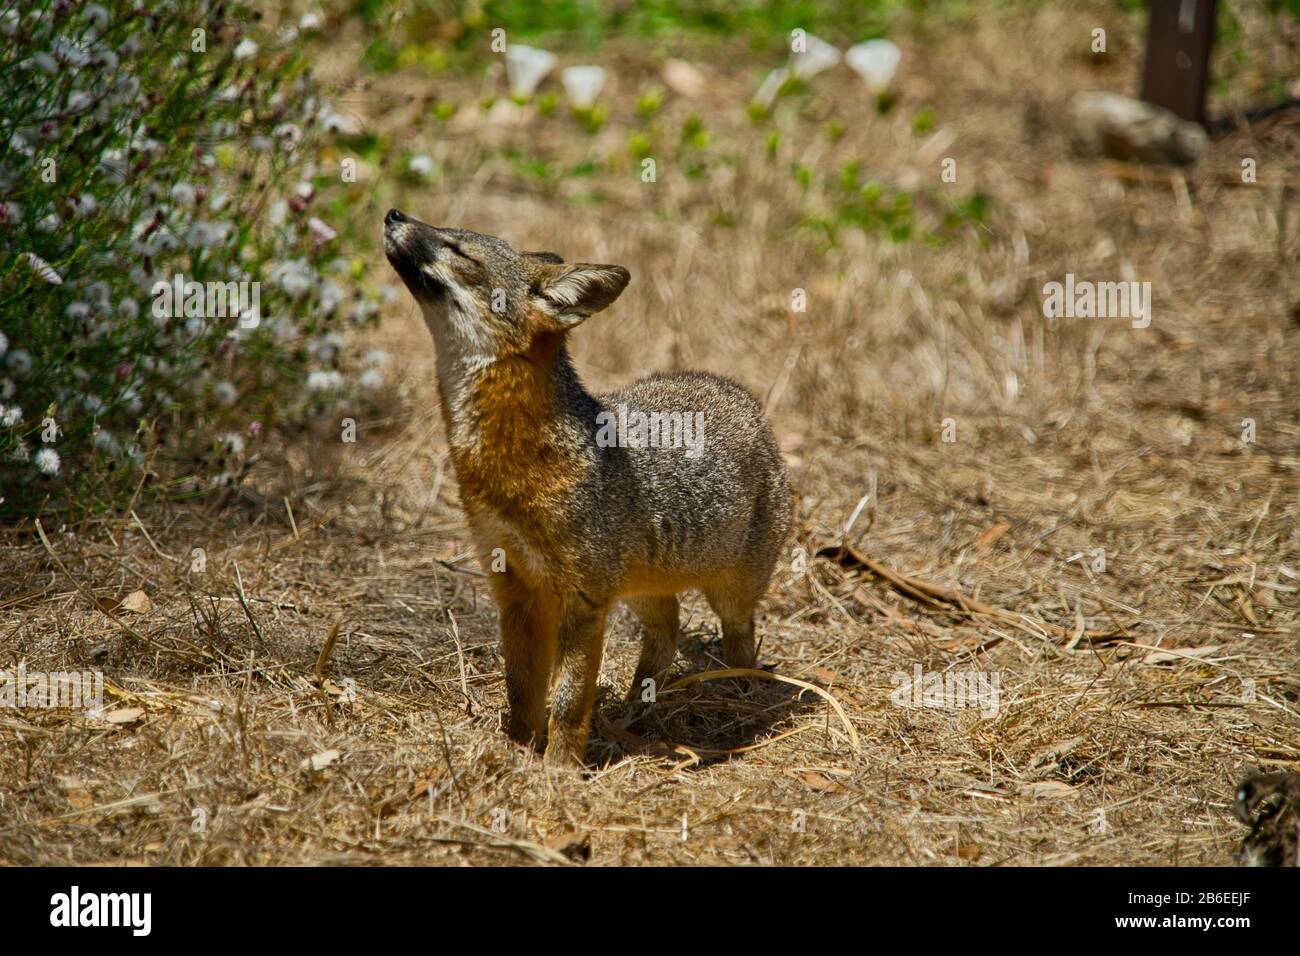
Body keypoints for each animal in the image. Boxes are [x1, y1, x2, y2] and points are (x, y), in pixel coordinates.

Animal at [383, 208, 791, 767]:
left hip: (729, 593)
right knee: (665, 636)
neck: (513, 463)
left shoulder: (582, 600)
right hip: (641, 589)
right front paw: (518, 752)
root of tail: (737, 392)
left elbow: (568, 699)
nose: (393, 214)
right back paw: (637, 712)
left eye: (458, 250)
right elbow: (521, 690)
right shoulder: (516, 590)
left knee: (739, 635)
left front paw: (558, 770)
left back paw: (736, 694)